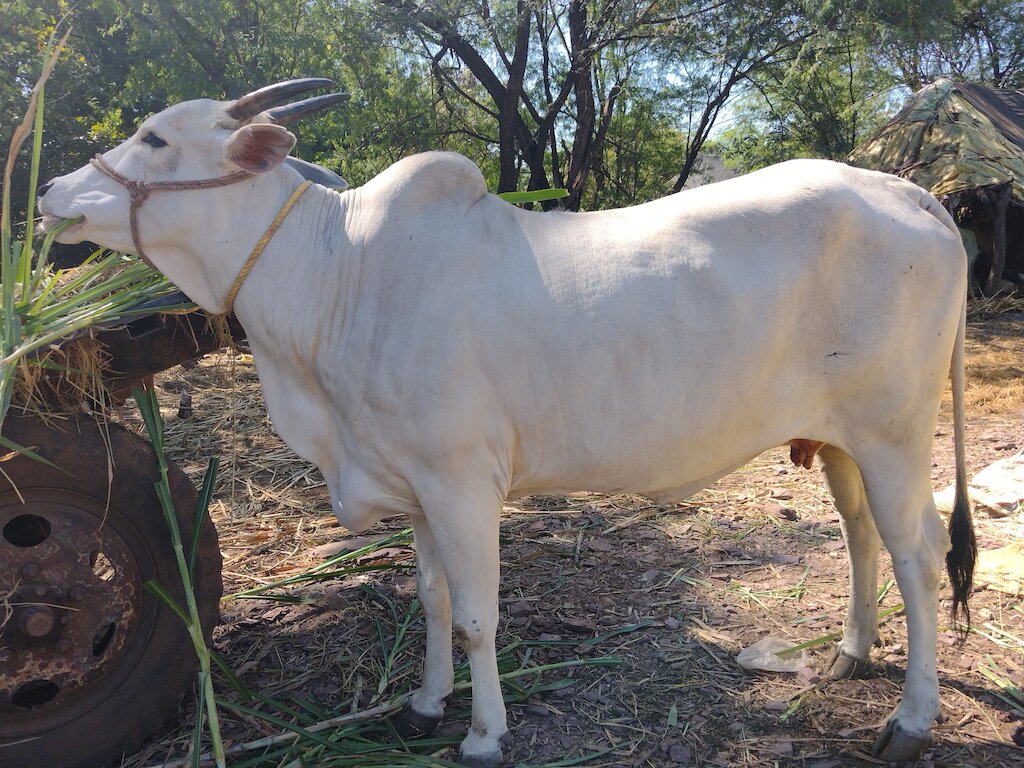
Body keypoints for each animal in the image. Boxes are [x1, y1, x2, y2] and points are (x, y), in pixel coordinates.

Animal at [39, 80, 976, 767]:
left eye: (156, 140)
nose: (48, 192)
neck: (338, 277)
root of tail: (909, 193)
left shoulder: (461, 484)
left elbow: (478, 617)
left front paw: (484, 733)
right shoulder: (412, 487)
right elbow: (431, 598)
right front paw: (424, 703)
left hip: (894, 432)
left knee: (920, 555)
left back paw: (910, 720)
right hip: (843, 438)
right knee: (862, 535)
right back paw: (851, 652)